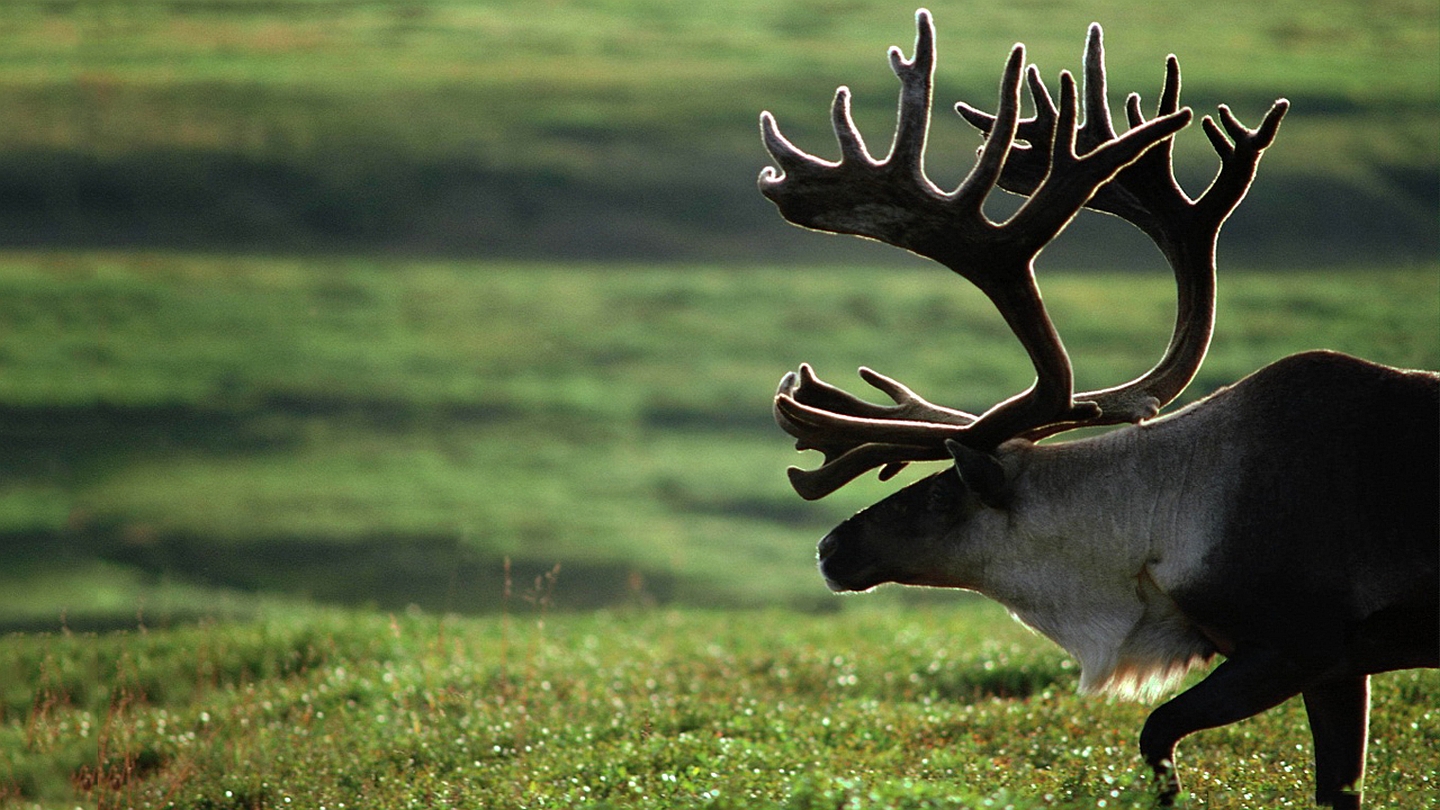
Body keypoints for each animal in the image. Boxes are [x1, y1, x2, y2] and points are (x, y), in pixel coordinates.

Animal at [758, 9, 1439, 809]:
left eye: (939, 494)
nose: (831, 548)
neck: (1166, 523)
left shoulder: (1298, 641)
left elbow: (1156, 734)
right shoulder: (1339, 665)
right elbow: (1337, 784)